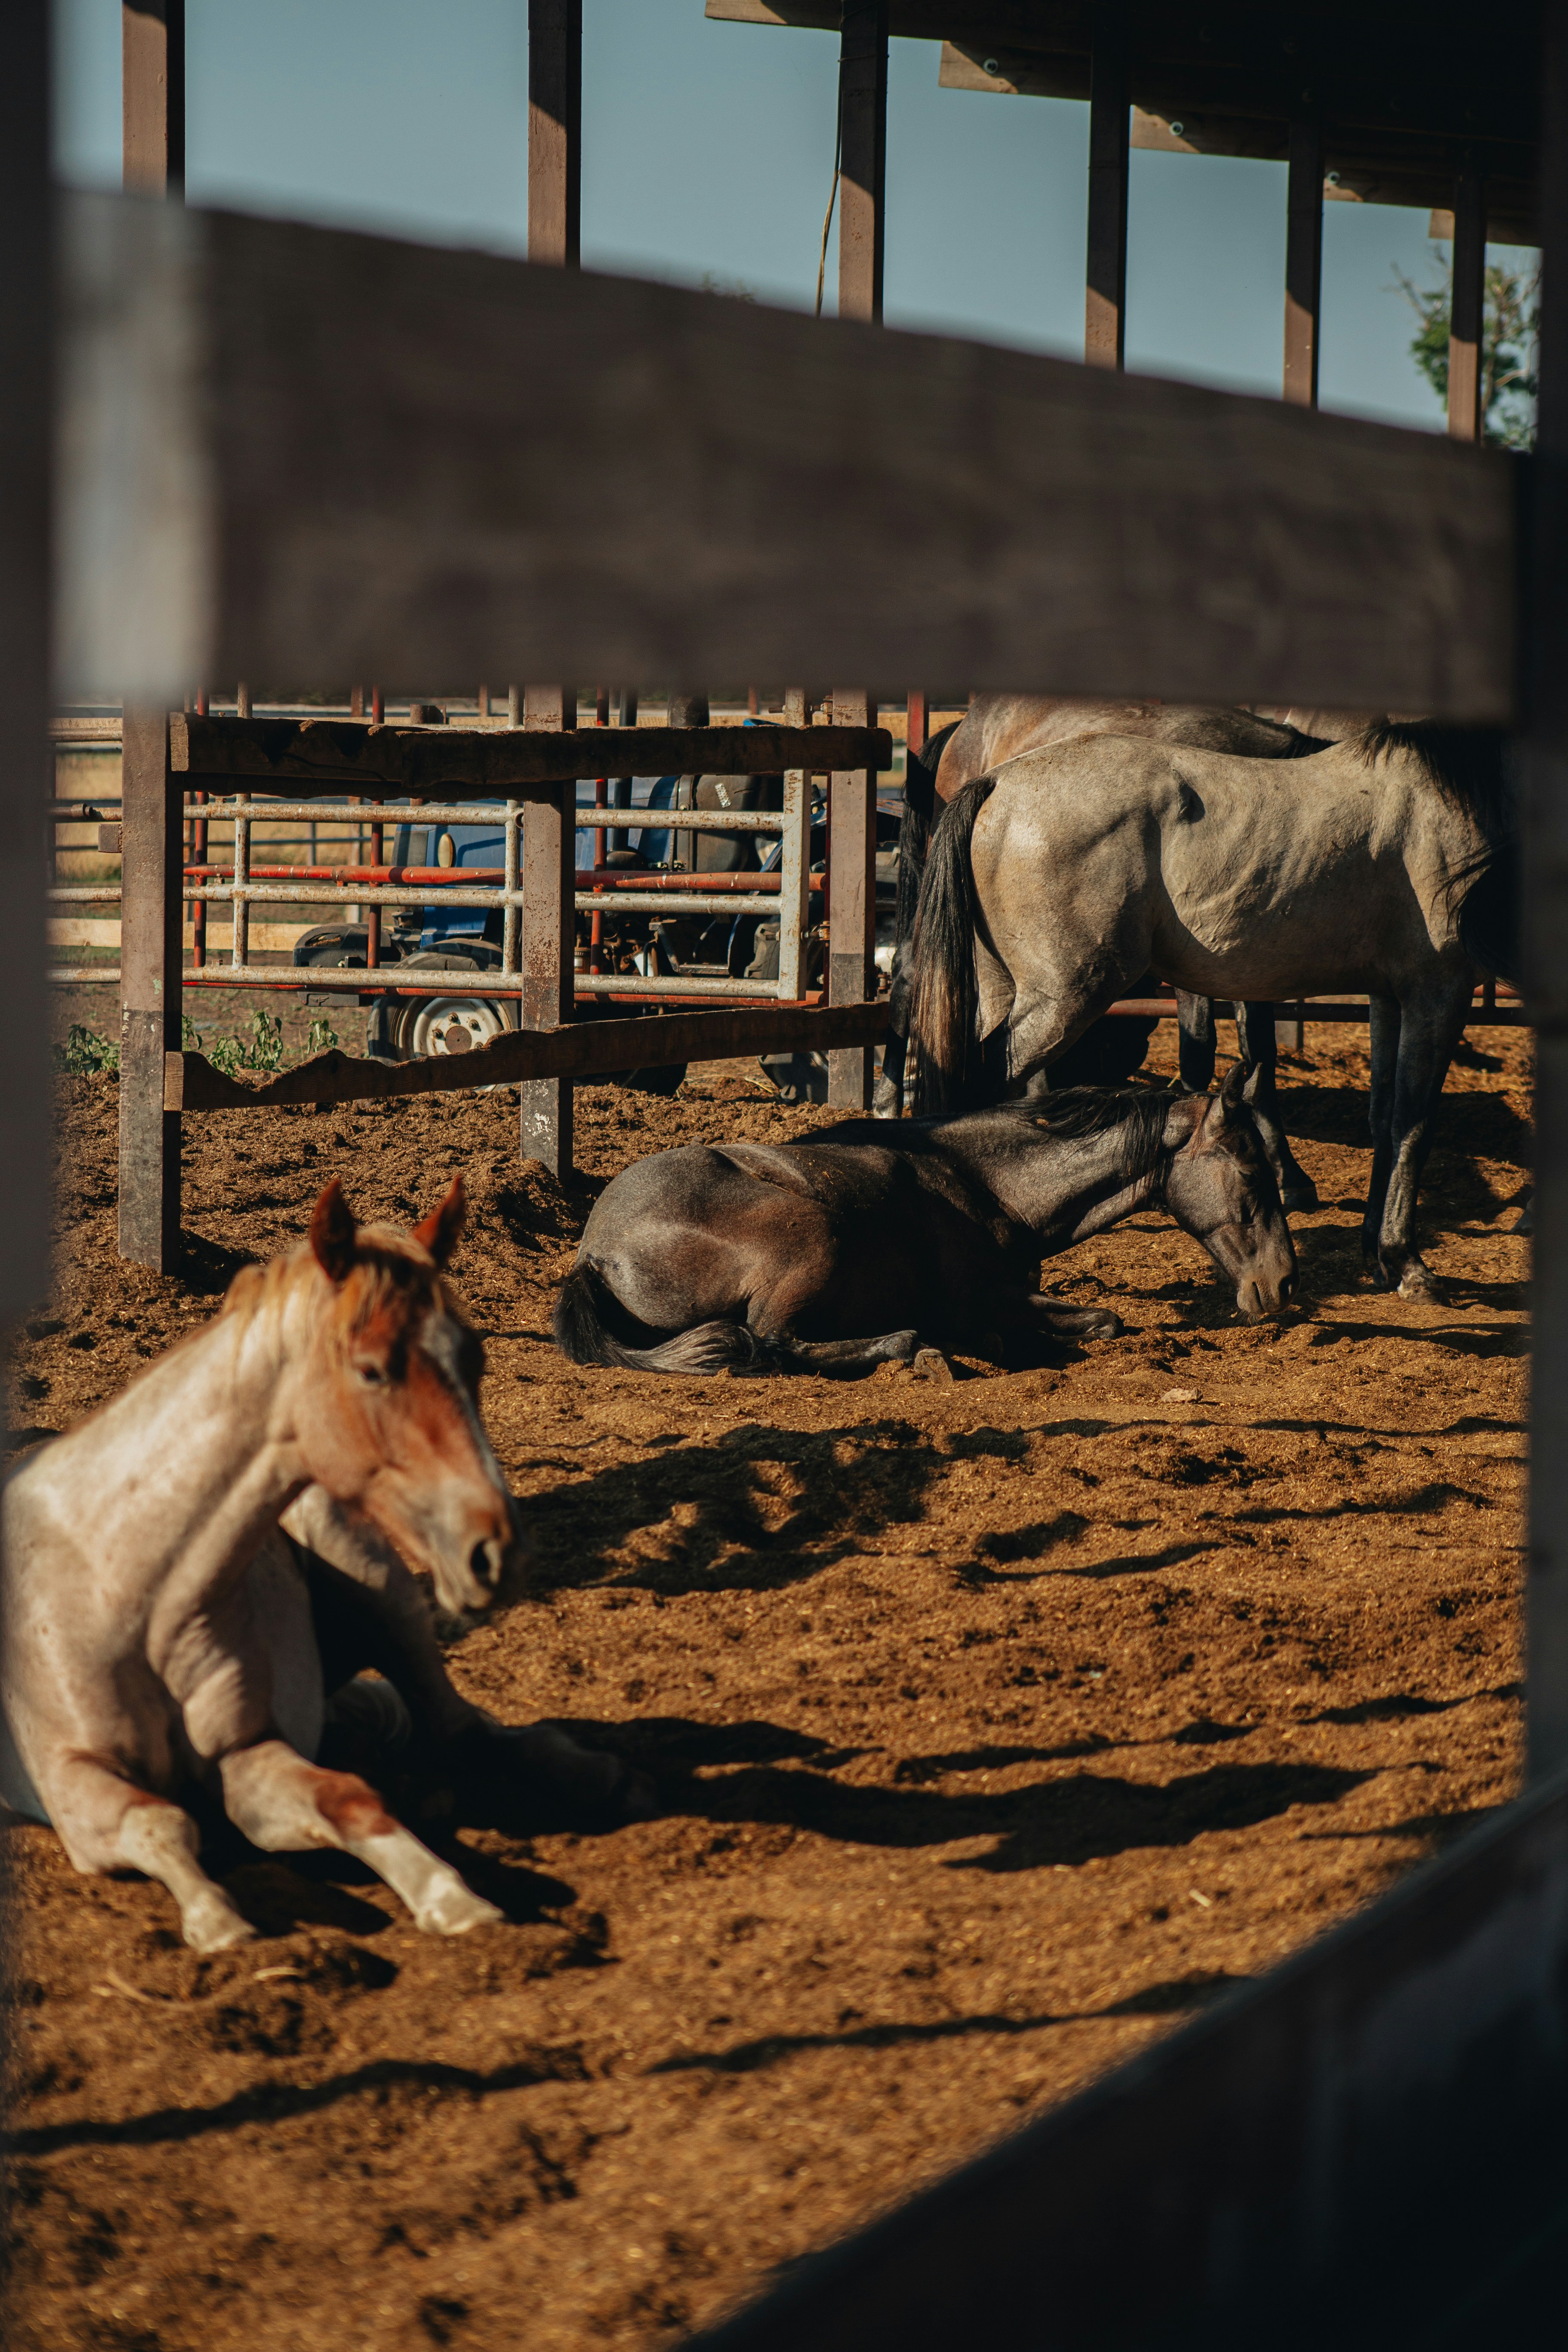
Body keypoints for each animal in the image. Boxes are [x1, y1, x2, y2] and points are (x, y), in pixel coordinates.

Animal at [0, 1177, 631, 1953]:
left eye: (474, 1362)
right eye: (372, 1370)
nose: (497, 1550)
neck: (121, 1583)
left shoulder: (247, 1750)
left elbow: (348, 1798)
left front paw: (451, 1897)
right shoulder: (70, 1779)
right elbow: (162, 1821)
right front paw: (217, 1920)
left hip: (383, 1590)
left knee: (460, 1726)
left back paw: (586, 1771)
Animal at [551, 1065, 1295, 1380]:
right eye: (1252, 1173)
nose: (1283, 1284)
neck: (983, 1182)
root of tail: (596, 1253)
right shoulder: (984, 1298)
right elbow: (1079, 1322)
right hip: (812, 1237)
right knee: (772, 1343)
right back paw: (917, 1350)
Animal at [880, 694, 1337, 1211]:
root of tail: (964, 729)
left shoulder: (1252, 963)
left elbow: (1259, 1055)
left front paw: (1286, 1171)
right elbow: (1203, 1049)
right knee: (912, 977)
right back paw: (891, 1100)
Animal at [905, 720, 1518, 1299]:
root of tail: (999, 782)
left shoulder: (1390, 998)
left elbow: (1384, 1120)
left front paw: (1377, 1253)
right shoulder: (1437, 992)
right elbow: (1414, 1125)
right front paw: (1406, 1263)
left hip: (1001, 993)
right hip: (1064, 998)